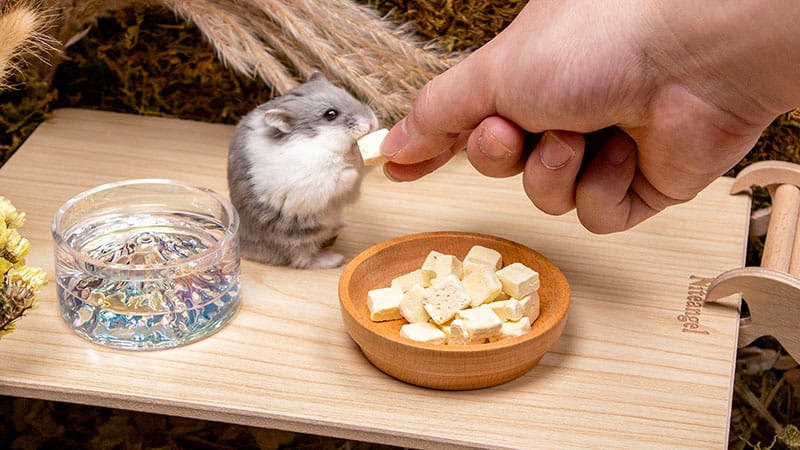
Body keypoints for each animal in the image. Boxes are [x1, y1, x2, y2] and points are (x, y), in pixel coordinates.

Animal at [227, 72, 379, 269]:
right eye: (330, 114)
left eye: (349, 95)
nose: (372, 124)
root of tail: (245, 245)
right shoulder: (306, 184)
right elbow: (336, 179)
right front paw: (348, 170)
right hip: (298, 238)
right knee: (303, 259)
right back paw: (335, 259)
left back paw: (340, 226)